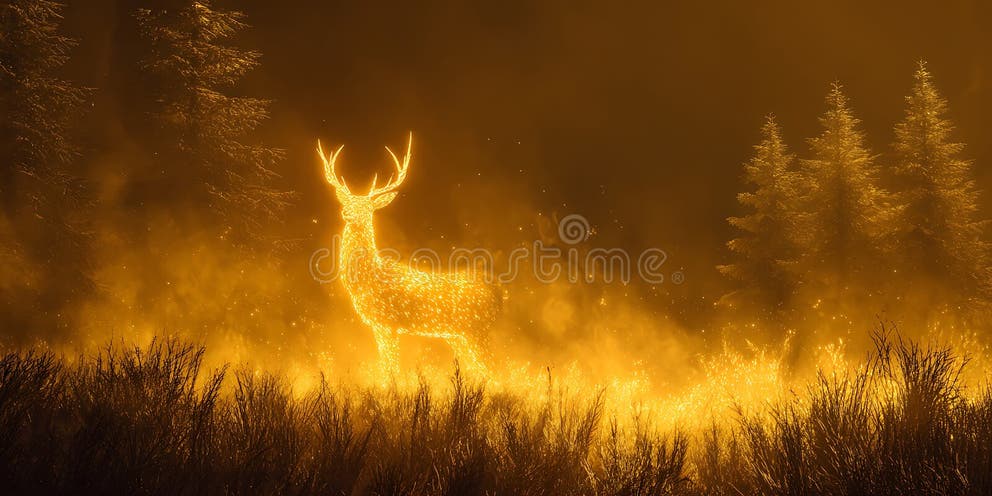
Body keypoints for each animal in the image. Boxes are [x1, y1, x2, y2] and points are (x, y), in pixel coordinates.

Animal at [317, 133, 501, 375]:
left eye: (367, 207)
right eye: (348, 202)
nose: (346, 212)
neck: (369, 278)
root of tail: (498, 293)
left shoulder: (388, 324)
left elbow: (392, 371)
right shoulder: (378, 327)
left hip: (477, 330)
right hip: (459, 336)